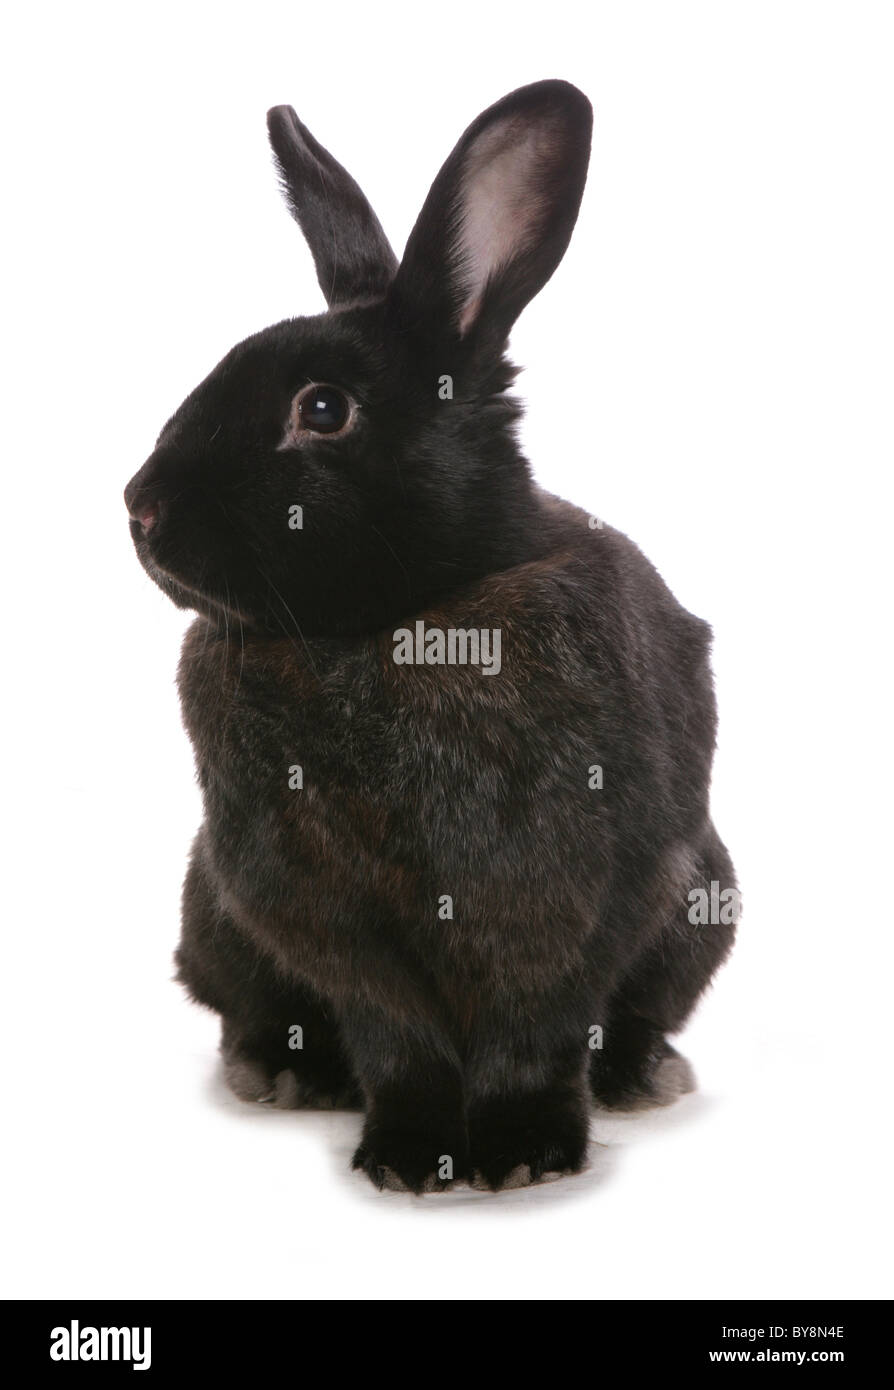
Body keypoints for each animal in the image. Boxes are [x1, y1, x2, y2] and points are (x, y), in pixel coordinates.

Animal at [124, 79, 738, 1193]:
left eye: (324, 408)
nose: (141, 510)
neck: (401, 625)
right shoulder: (321, 910)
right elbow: (396, 1036)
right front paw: (411, 1159)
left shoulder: (575, 896)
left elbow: (535, 1030)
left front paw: (524, 1155)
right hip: (212, 912)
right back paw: (288, 1073)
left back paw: (637, 1073)